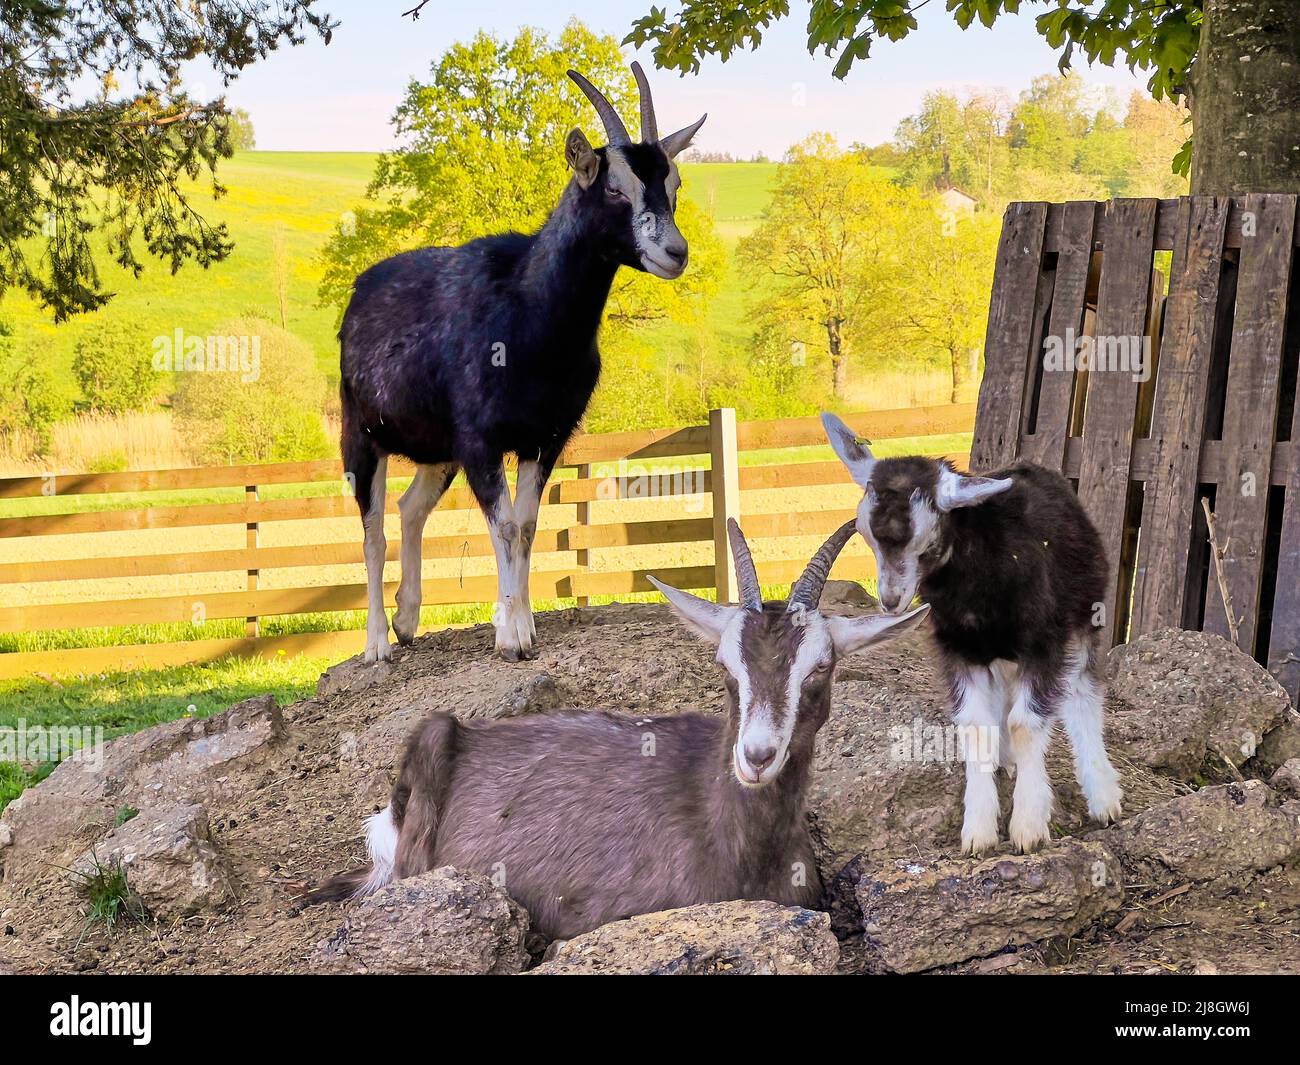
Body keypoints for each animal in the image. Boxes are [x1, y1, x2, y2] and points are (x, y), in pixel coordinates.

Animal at [339, 63, 706, 662]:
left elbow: (530, 524)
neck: (529, 311)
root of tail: (359, 294)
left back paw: (408, 619)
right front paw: (511, 638)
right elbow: (508, 527)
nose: (675, 253)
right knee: (372, 528)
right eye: (613, 188)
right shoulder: (481, 440)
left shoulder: (544, 438)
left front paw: (526, 624)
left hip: (439, 450)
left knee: (410, 508)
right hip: (363, 434)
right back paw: (377, 645)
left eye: (672, 185)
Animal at [821, 412, 1122, 855]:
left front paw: (1028, 827)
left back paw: (1103, 796)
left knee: (1083, 694)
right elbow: (978, 727)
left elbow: (1025, 723)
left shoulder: (1044, 643)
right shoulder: (960, 651)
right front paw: (978, 830)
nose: (891, 600)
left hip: (1085, 616)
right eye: (865, 533)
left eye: (925, 541)